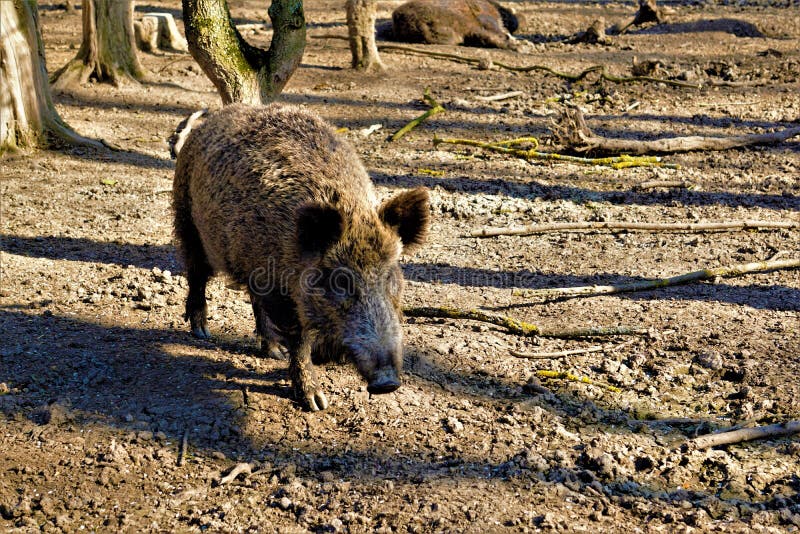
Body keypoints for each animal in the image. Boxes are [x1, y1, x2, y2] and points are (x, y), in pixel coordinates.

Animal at [171, 104, 430, 411]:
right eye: (340, 281)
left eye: (390, 276)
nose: (387, 382)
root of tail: (210, 120)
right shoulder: (281, 294)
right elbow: (300, 340)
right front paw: (315, 402)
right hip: (186, 218)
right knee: (197, 273)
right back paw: (202, 332)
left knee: (252, 299)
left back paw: (273, 352)